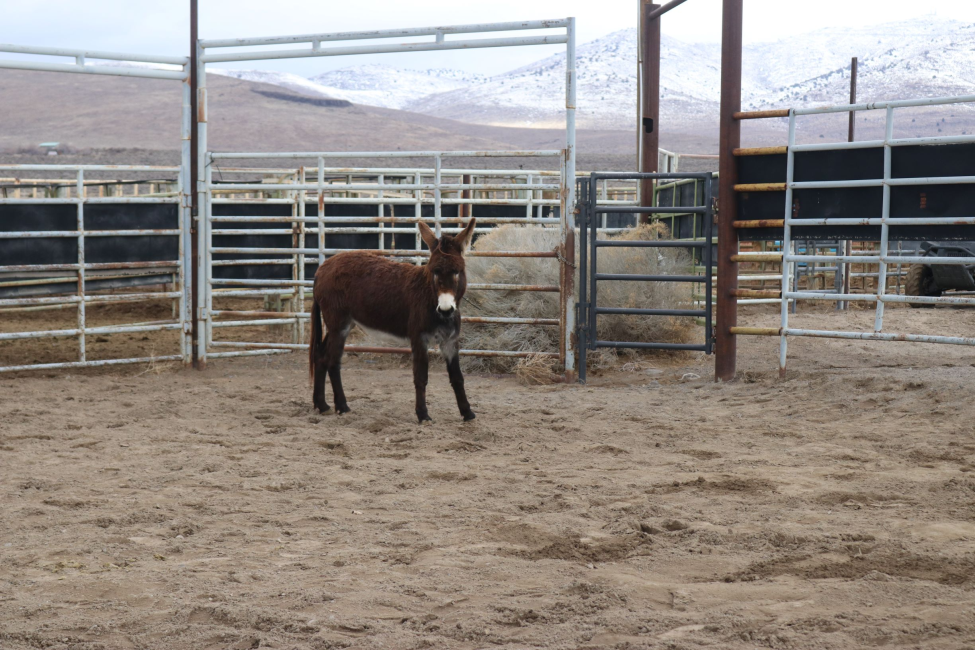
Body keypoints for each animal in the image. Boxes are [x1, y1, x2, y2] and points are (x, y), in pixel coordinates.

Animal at [309, 218, 477, 423]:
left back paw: (321, 405)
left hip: (342, 324)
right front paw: (423, 415)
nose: (445, 310)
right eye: (434, 271)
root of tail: (321, 268)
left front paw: (467, 413)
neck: (429, 296)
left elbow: (457, 377)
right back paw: (342, 406)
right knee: (332, 361)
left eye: (457, 271)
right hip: (337, 323)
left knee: (320, 355)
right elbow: (421, 377)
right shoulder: (419, 339)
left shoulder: (450, 342)